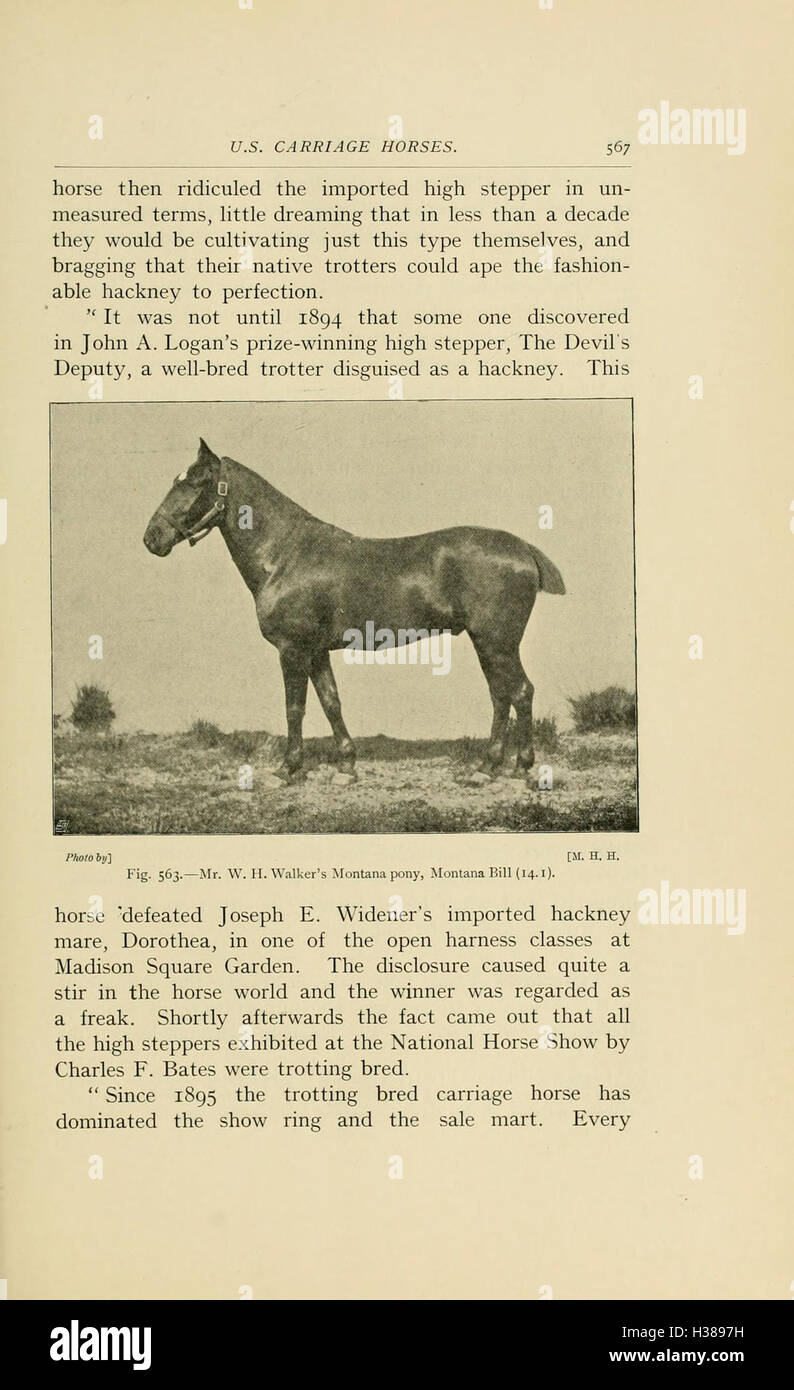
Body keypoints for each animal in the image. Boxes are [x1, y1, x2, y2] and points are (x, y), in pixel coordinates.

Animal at [143, 438, 565, 782]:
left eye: (195, 482)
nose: (152, 538)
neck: (284, 554)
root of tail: (523, 549)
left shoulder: (292, 649)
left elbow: (294, 707)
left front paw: (287, 769)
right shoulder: (315, 651)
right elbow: (331, 702)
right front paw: (346, 765)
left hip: (497, 642)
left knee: (519, 692)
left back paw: (521, 767)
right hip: (488, 643)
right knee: (501, 695)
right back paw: (488, 766)